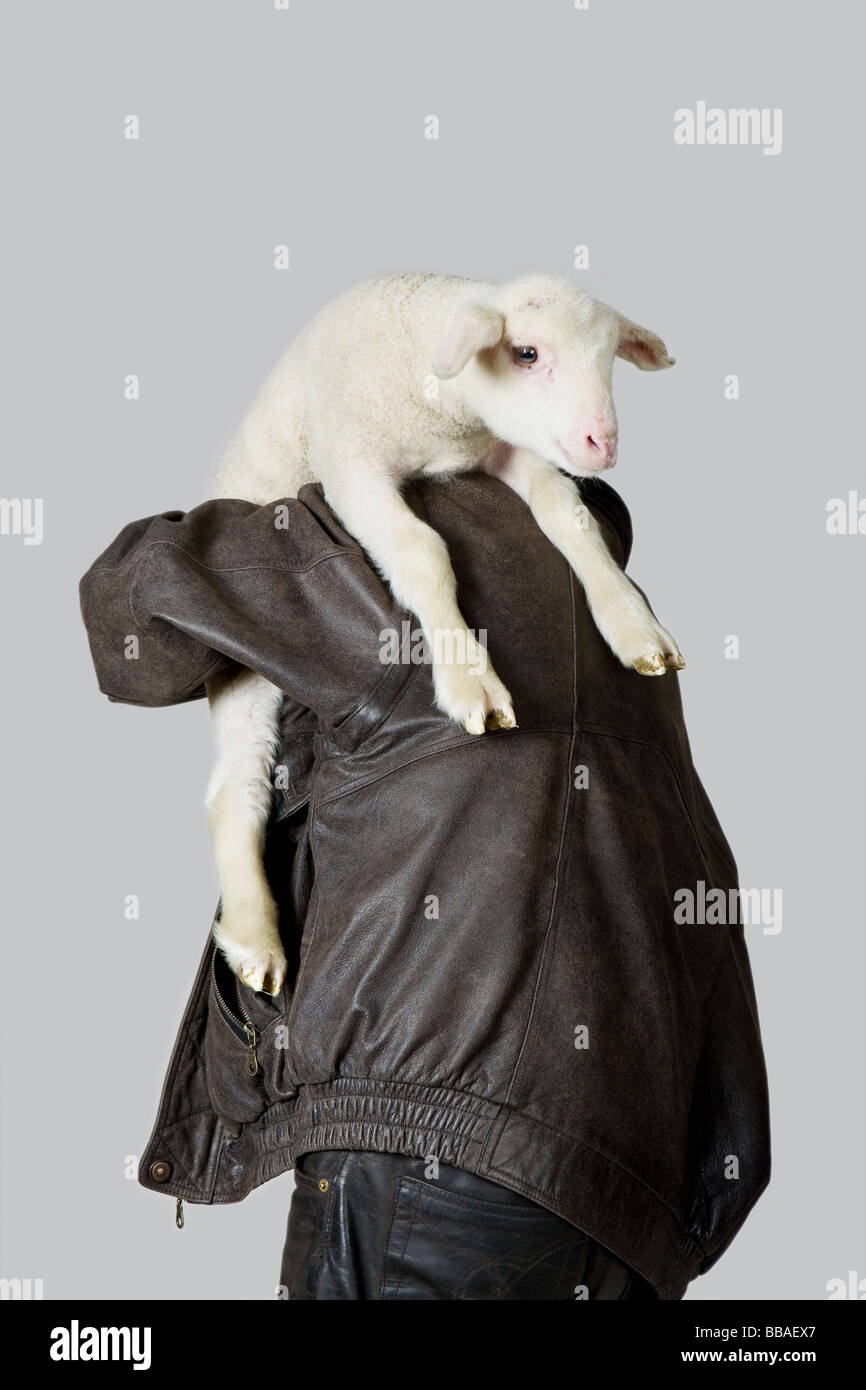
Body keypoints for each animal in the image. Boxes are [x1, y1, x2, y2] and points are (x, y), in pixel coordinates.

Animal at [206, 272, 683, 994]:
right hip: (242, 670)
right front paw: (468, 680)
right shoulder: (354, 468)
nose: (603, 443)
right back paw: (255, 938)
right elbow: (420, 549)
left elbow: (568, 512)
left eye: (608, 358)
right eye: (525, 353)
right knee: (236, 785)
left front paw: (632, 624)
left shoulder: (504, 448)